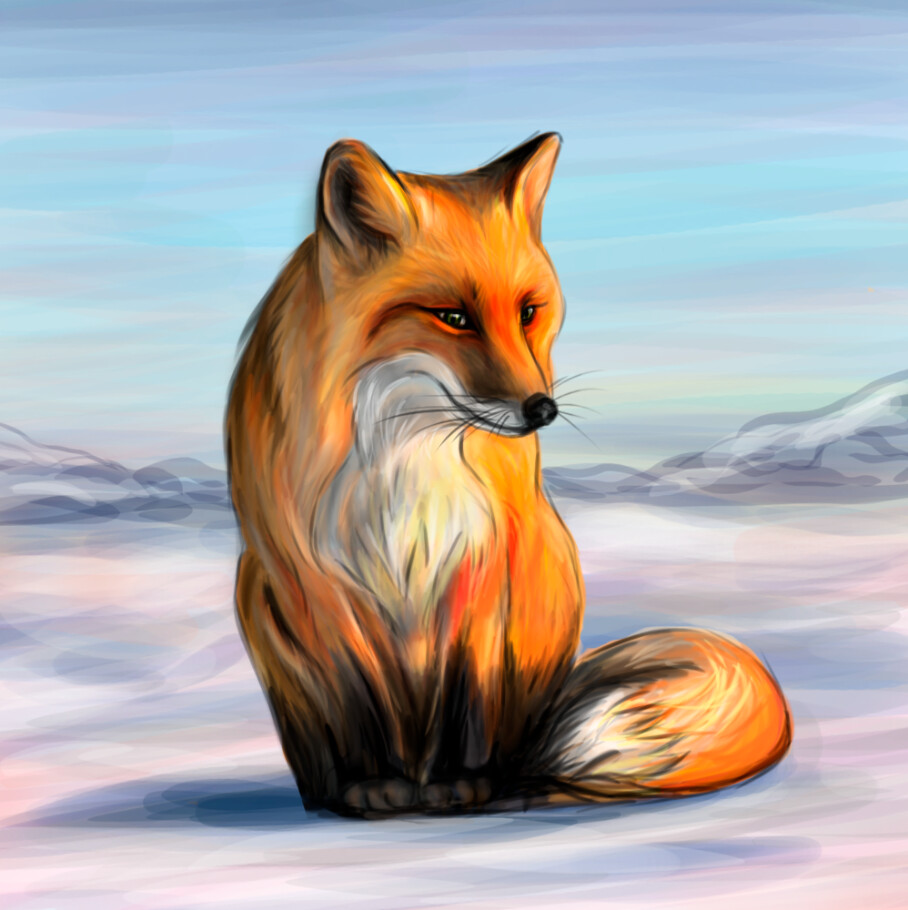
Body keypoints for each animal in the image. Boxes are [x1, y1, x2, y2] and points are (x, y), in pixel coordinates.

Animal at [225, 133, 792, 817]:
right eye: (453, 316)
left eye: (527, 311)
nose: (541, 409)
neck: (407, 454)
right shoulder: (316, 582)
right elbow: (359, 706)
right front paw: (373, 785)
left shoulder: (487, 558)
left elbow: (467, 702)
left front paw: (459, 784)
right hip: (255, 597)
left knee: (524, 750)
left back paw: (514, 783)